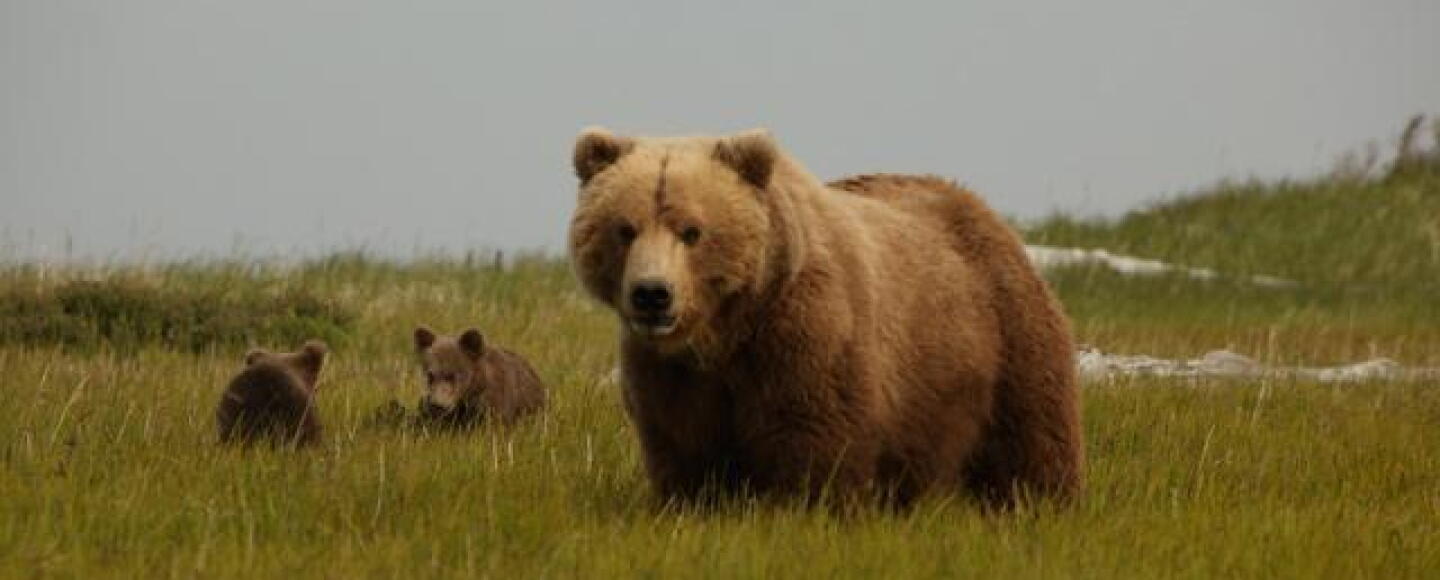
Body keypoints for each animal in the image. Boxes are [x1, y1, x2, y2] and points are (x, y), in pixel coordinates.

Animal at [567, 127, 1083, 509]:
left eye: (691, 231)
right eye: (625, 228)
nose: (652, 294)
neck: (726, 333)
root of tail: (983, 211)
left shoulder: (804, 338)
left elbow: (814, 444)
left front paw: (803, 509)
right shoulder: (671, 375)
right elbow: (685, 453)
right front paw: (694, 506)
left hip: (1005, 341)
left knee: (1032, 444)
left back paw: (1042, 503)